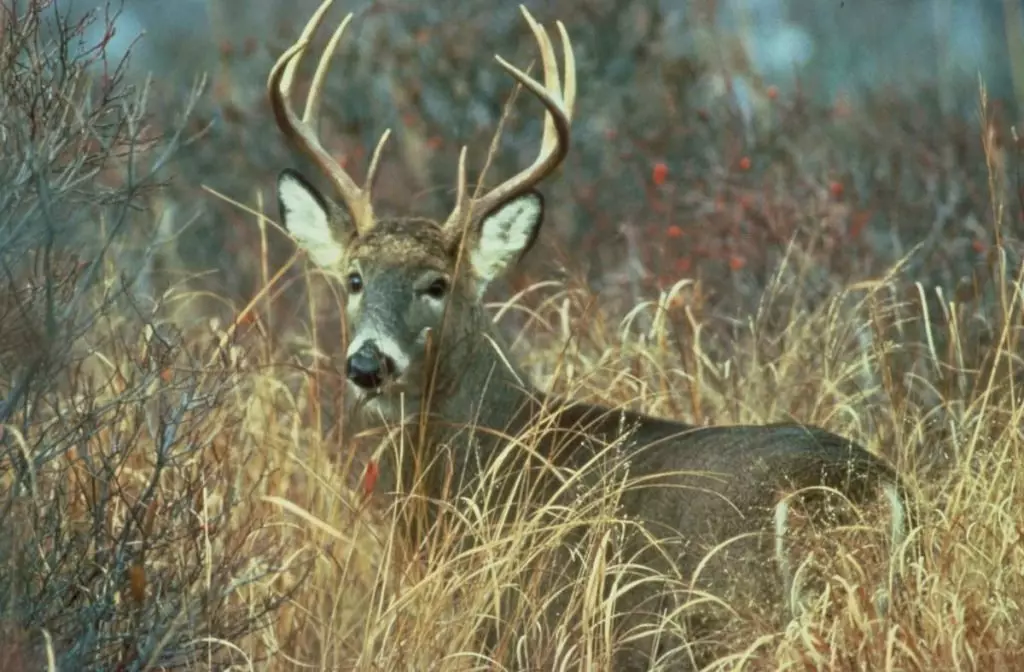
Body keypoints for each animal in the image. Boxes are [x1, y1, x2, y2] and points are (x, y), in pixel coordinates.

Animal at [268, 2, 917, 667]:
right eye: (354, 278)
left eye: (438, 283)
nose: (368, 365)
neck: (490, 455)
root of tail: (852, 491)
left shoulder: (522, 626)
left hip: (730, 617)